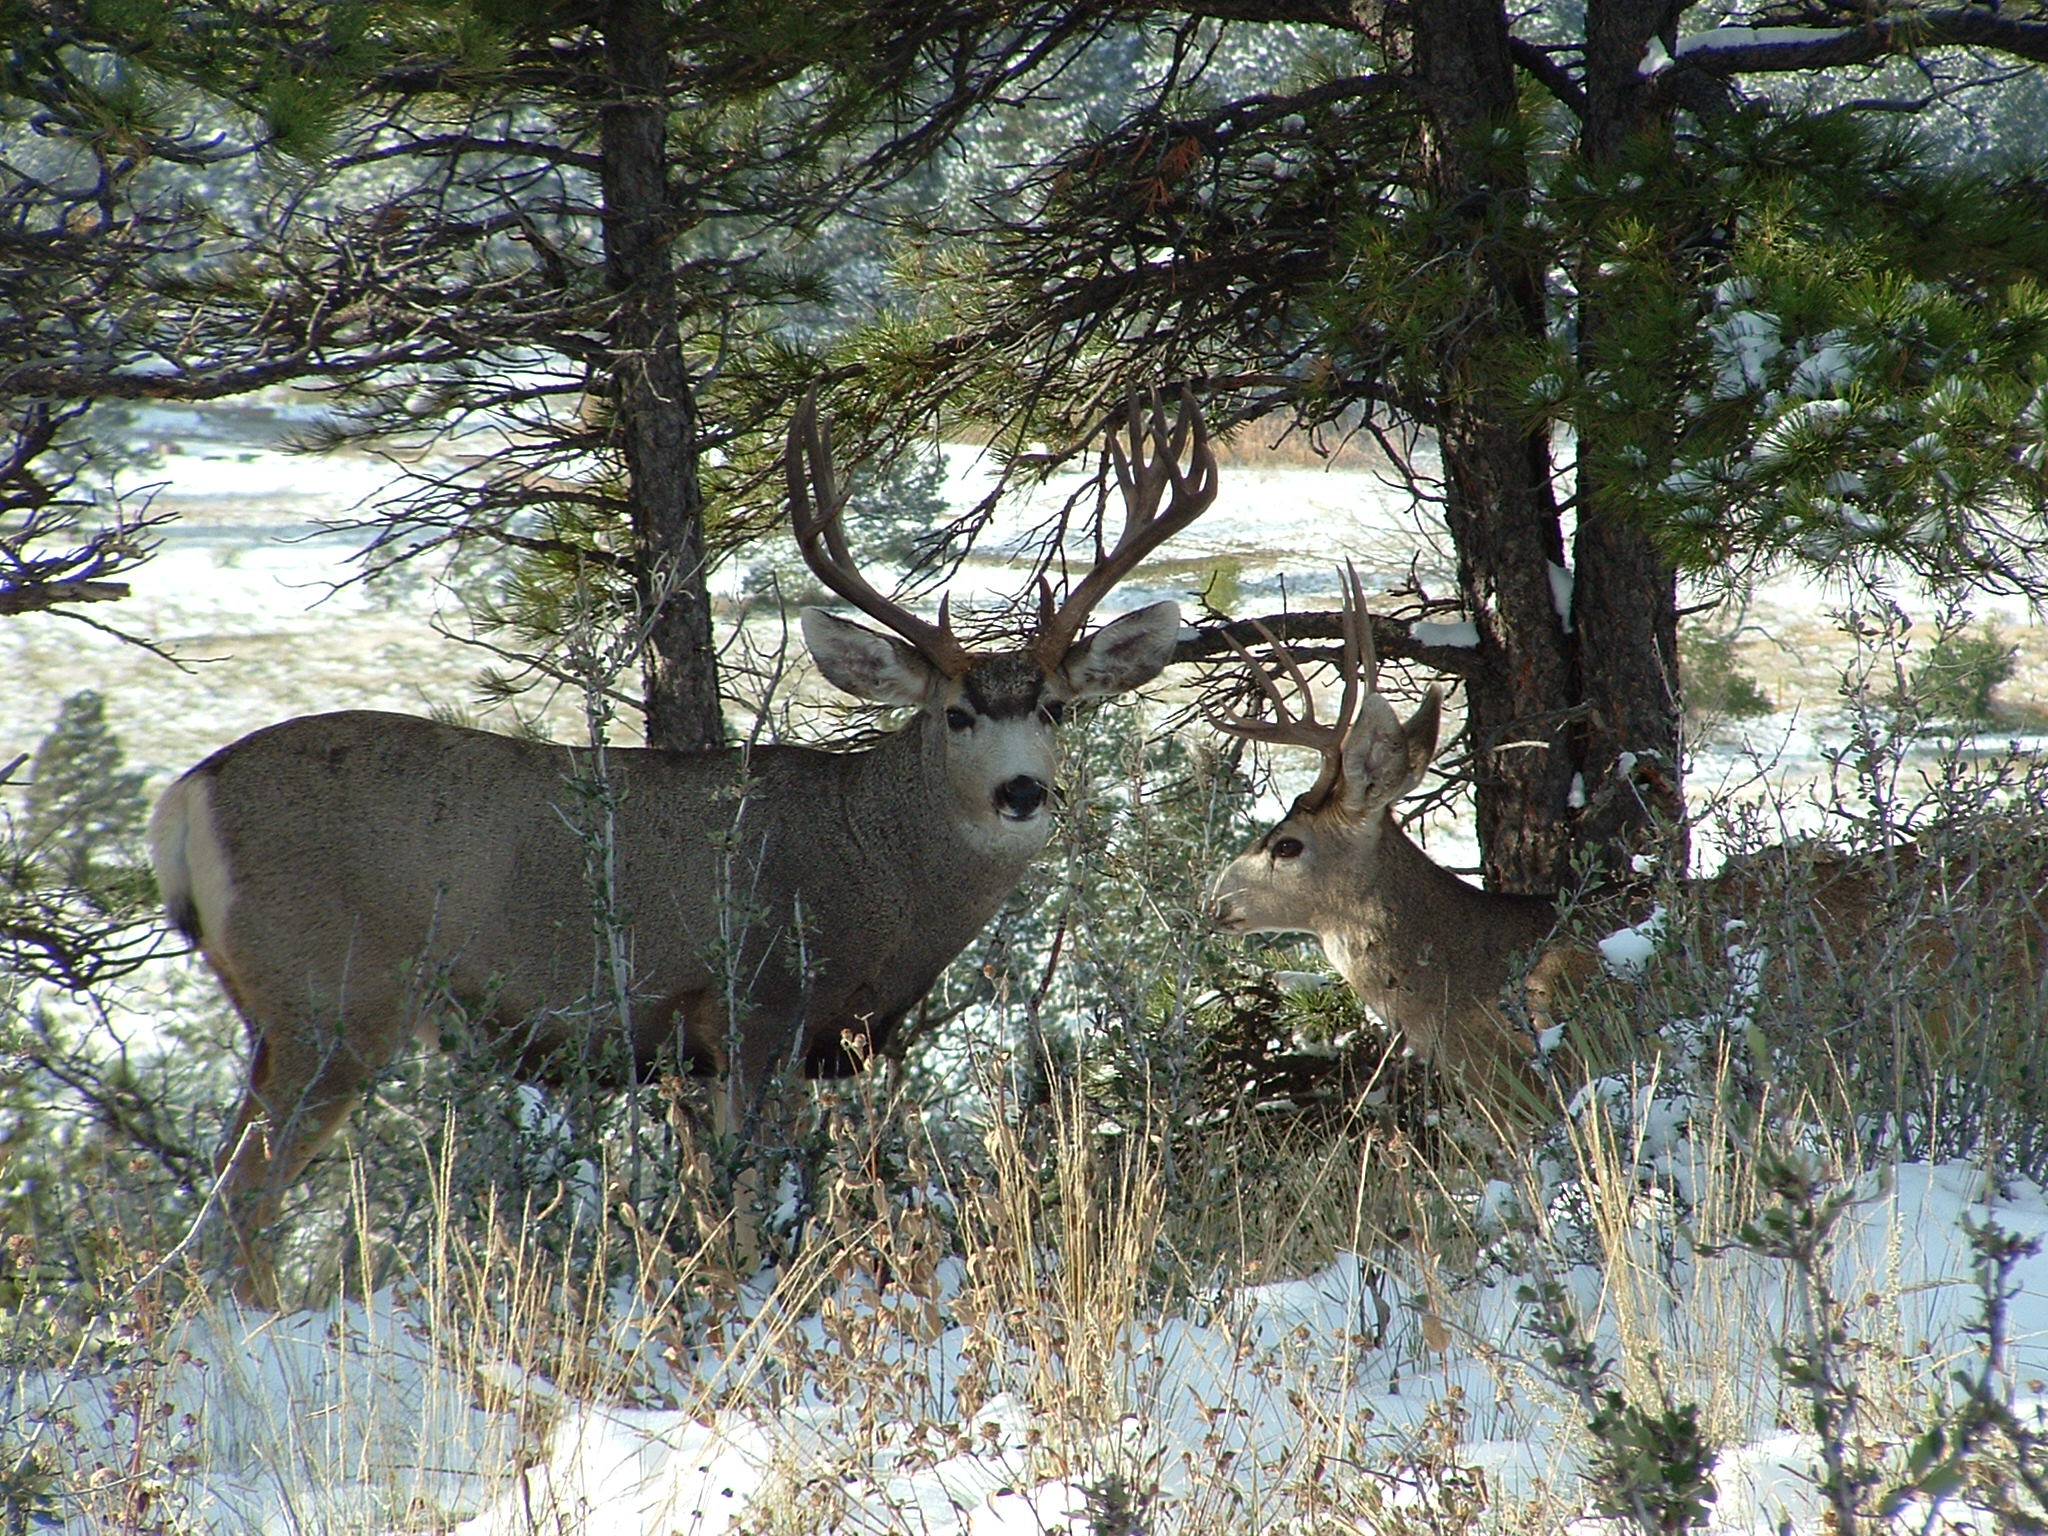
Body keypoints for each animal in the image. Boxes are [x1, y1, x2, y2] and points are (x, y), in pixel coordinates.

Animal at [149, 389, 1217, 1302]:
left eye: (1053, 708)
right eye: (954, 714)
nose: (1023, 791)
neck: (873, 878)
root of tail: (185, 796)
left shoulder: (710, 1051)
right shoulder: (755, 1007)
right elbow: (748, 1210)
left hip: (283, 1012)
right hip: (329, 1000)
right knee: (235, 1207)